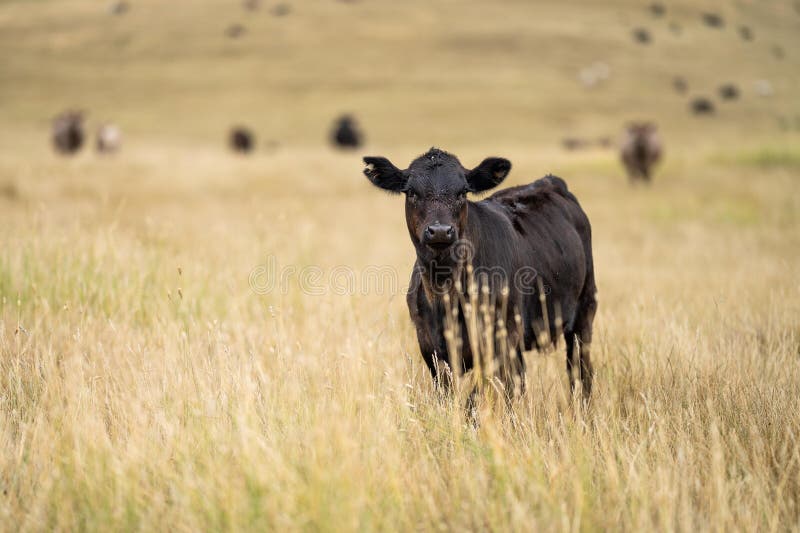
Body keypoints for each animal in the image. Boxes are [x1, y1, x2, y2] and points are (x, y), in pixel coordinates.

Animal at [363, 148, 597, 400]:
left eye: (462, 192)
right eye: (412, 192)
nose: (440, 231)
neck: (444, 292)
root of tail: (550, 181)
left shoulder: (499, 341)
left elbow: (474, 399)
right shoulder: (430, 347)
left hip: (584, 310)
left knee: (579, 371)